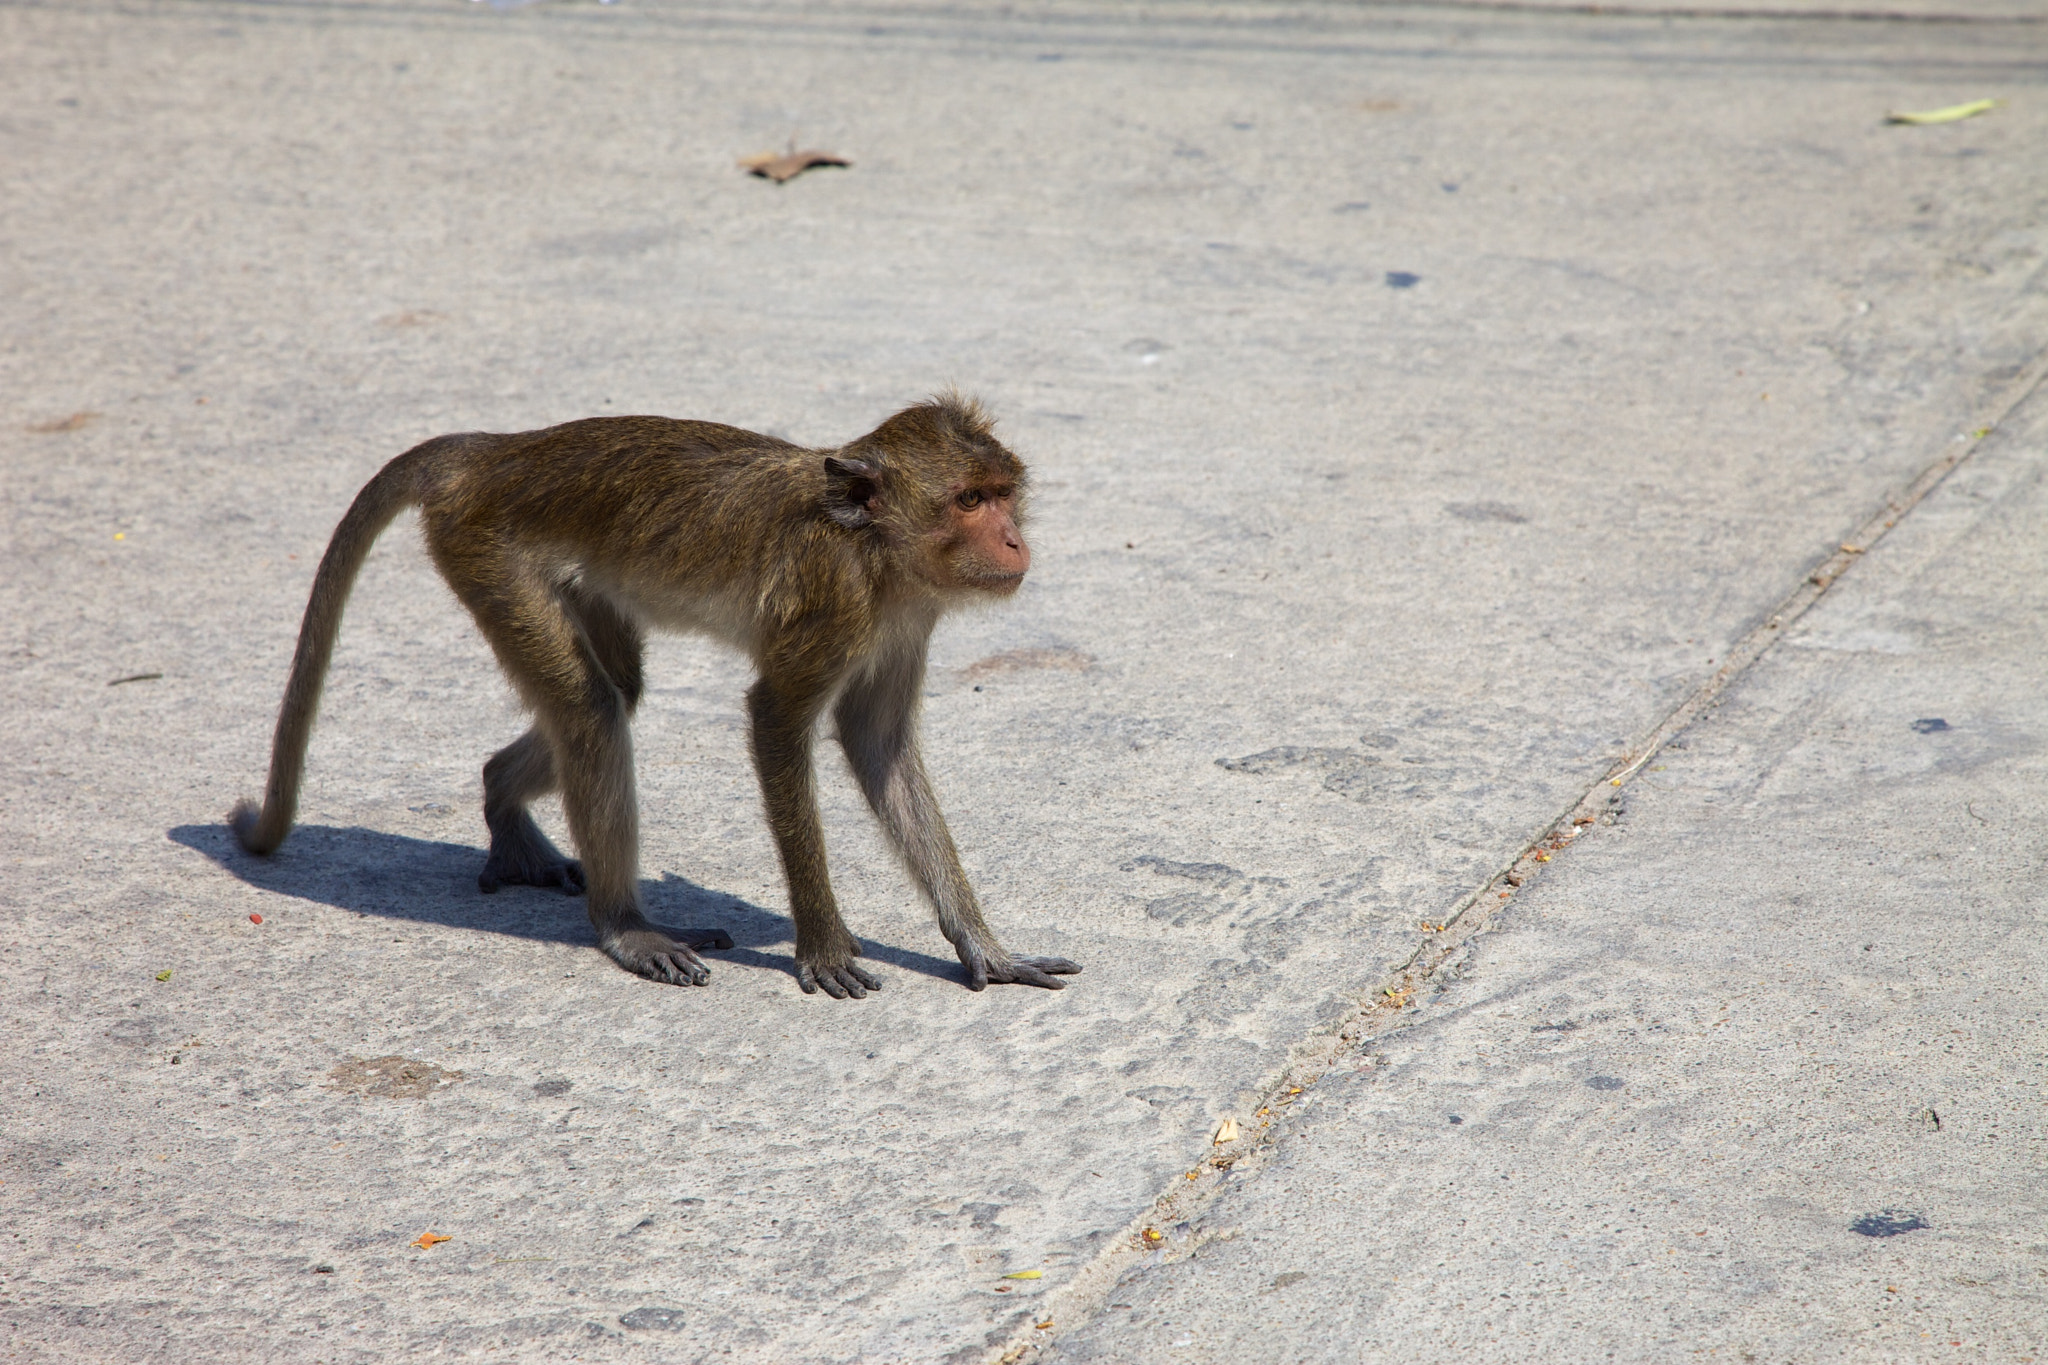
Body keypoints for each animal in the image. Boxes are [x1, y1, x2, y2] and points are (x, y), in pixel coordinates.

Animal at [230, 395, 1081, 999]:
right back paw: (625, 926)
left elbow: (879, 745)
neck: (873, 546)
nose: (1015, 540)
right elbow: (776, 721)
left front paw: (982, 946)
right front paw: (824, 944)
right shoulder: (834, 601)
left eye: (1003, 493)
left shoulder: (910, 615)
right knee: (592, 708)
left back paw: (504, 802)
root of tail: (496, 453)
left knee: (612, 690)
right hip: (487, 551)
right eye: (969, 501)